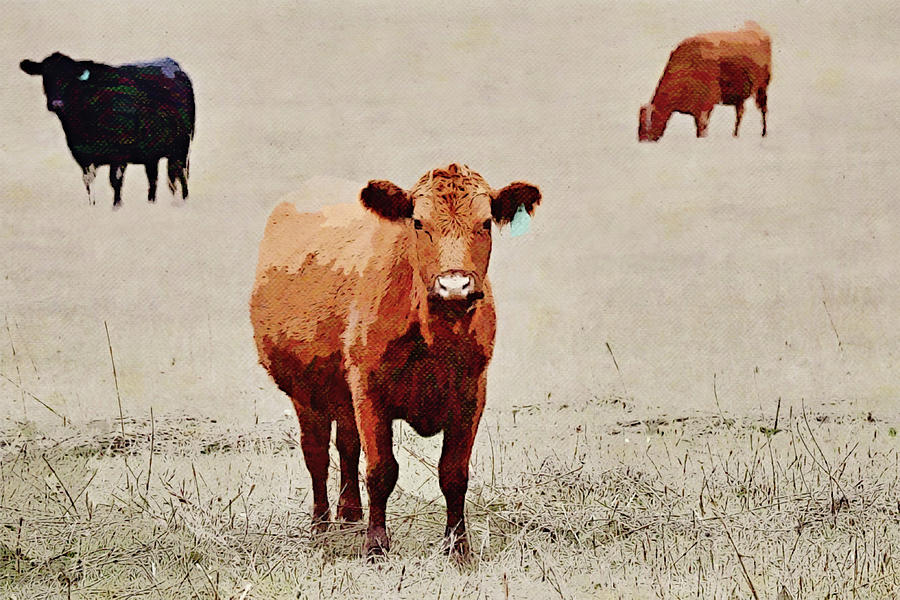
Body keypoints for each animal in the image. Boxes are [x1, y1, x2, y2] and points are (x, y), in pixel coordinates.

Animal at [20, 52, 195, 206]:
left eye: (69, 78)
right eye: (46, 76)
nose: (56, 103)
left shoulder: (119, 153)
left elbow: (115, 181)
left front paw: (116, 206)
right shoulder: (83, 155)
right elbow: (89, 183)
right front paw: (93, 205)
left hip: (182, 147)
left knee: (181, 174)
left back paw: (184, 200)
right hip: (152, 152)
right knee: (154, 178)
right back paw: (151, 202)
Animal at [250, 164, 541, 558]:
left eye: (484, 223)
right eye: (418, 222)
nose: (455, 286)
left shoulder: (471, 393)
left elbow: (454, 473)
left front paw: (457, 546)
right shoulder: (369, 390)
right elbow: (380, 470)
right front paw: (376, 545)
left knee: (347, 446)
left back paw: (350, 514)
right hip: (306, 393)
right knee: (316, 455)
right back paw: (321, 526)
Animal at [639, 21, 771, 141]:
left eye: (651, 122)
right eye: (640, 124)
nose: (642, 140)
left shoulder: (704, 108)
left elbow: (701, 131)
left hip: (762, 87)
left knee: (763, 109)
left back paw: (764, 133)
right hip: (740, 94)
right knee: (740, 112)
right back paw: (735, 134)